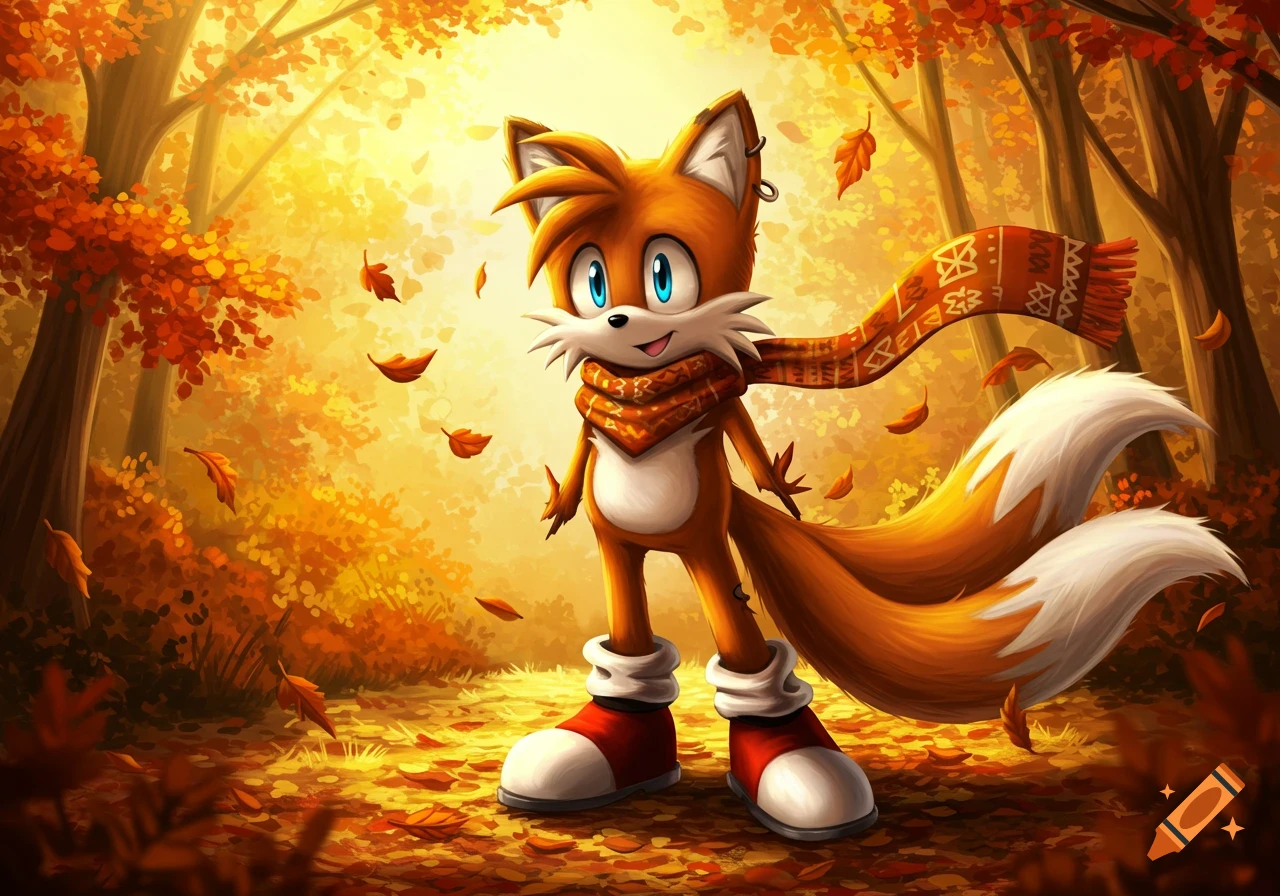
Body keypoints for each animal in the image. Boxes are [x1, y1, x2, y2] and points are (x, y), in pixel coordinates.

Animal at [491, 90, 1244, 841]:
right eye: (591, 280)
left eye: (663, 276)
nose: (617, 320)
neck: (650, 395)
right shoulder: (597, 431)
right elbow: (586, 446)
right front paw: (559, 505)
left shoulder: (721, 406)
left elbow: (748, 447)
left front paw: (784, 489)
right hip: (618, 541)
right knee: (627, 619)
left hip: (703, 540)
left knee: (738, 639)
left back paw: (796, 767)